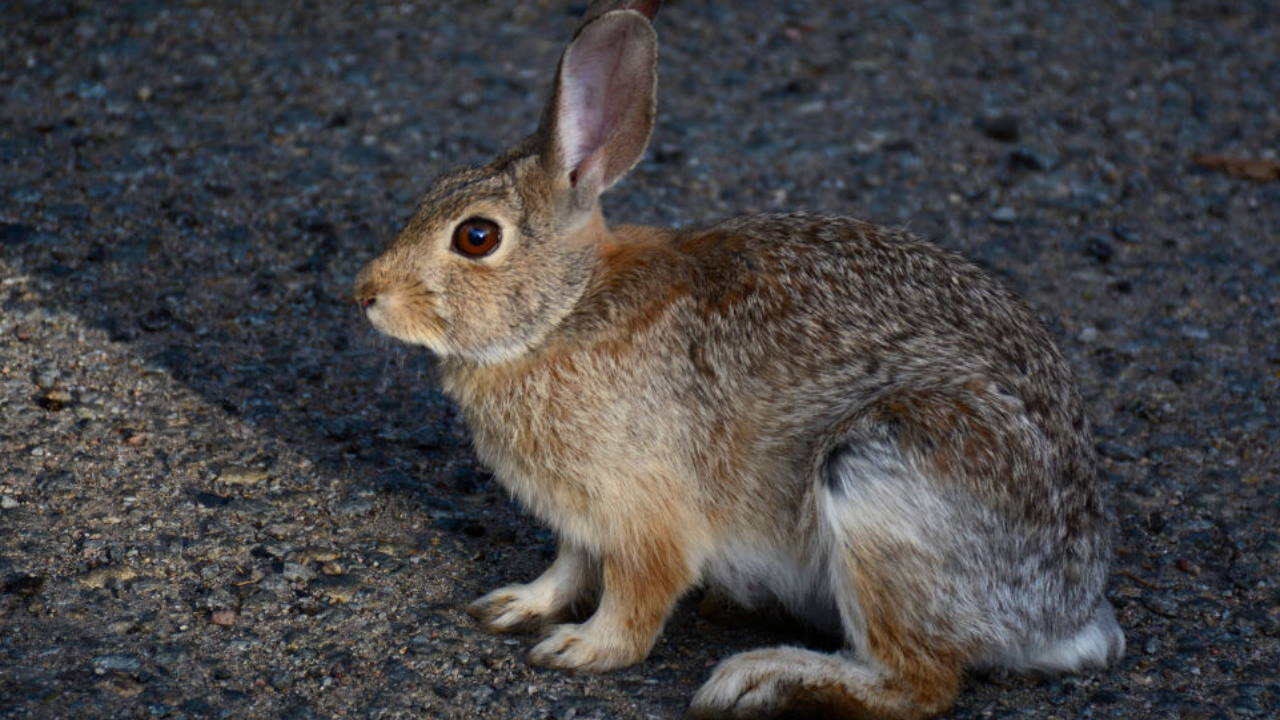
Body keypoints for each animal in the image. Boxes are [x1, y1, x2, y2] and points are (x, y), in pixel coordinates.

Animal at [353, 1, 1124, 717]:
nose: (366, 294)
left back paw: (762, 679)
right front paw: (517, 604)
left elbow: (637, 598)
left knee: (918, 683)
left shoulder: (644, 511)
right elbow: (569, 566)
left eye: (476, 237)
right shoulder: (580, 518)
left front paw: (581, 648)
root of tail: (1064, 613)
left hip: (882, 477)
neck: (566, 311)